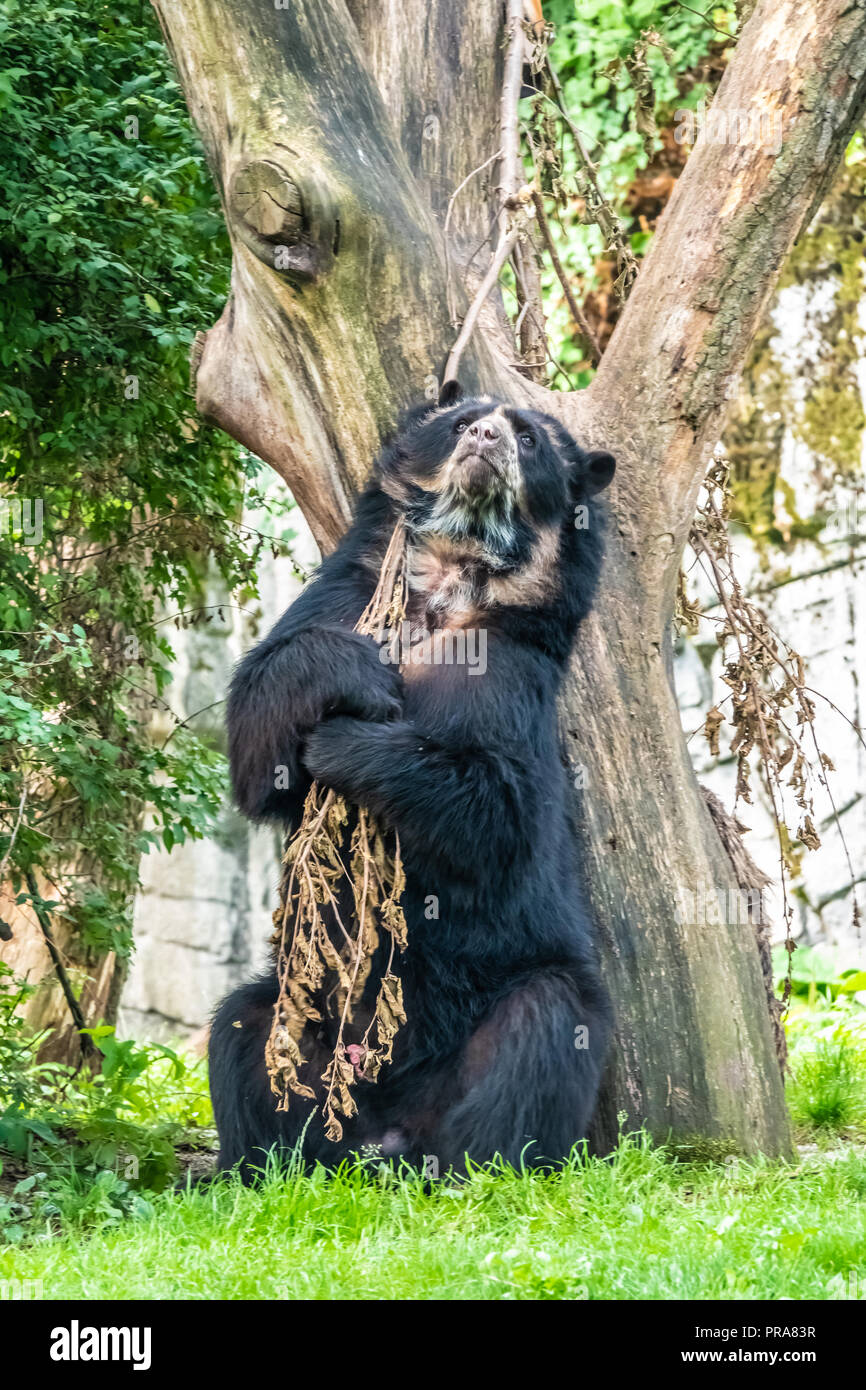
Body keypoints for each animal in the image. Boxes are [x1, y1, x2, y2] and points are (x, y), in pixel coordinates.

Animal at [209, 384, 616, 1178]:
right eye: (462, 422)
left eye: (529, 439)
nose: (486, 437)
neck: (450, 576)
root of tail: (389, 1139)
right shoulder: (348, 592)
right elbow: (258, 743)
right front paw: (352, 673)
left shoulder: (507, 667)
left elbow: (496, 806)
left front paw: (346, 744)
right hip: (308, 1016)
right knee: (245, 1028)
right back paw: (264, 1170)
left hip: (521, 994)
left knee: (540, 1031)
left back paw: (479, 1171)